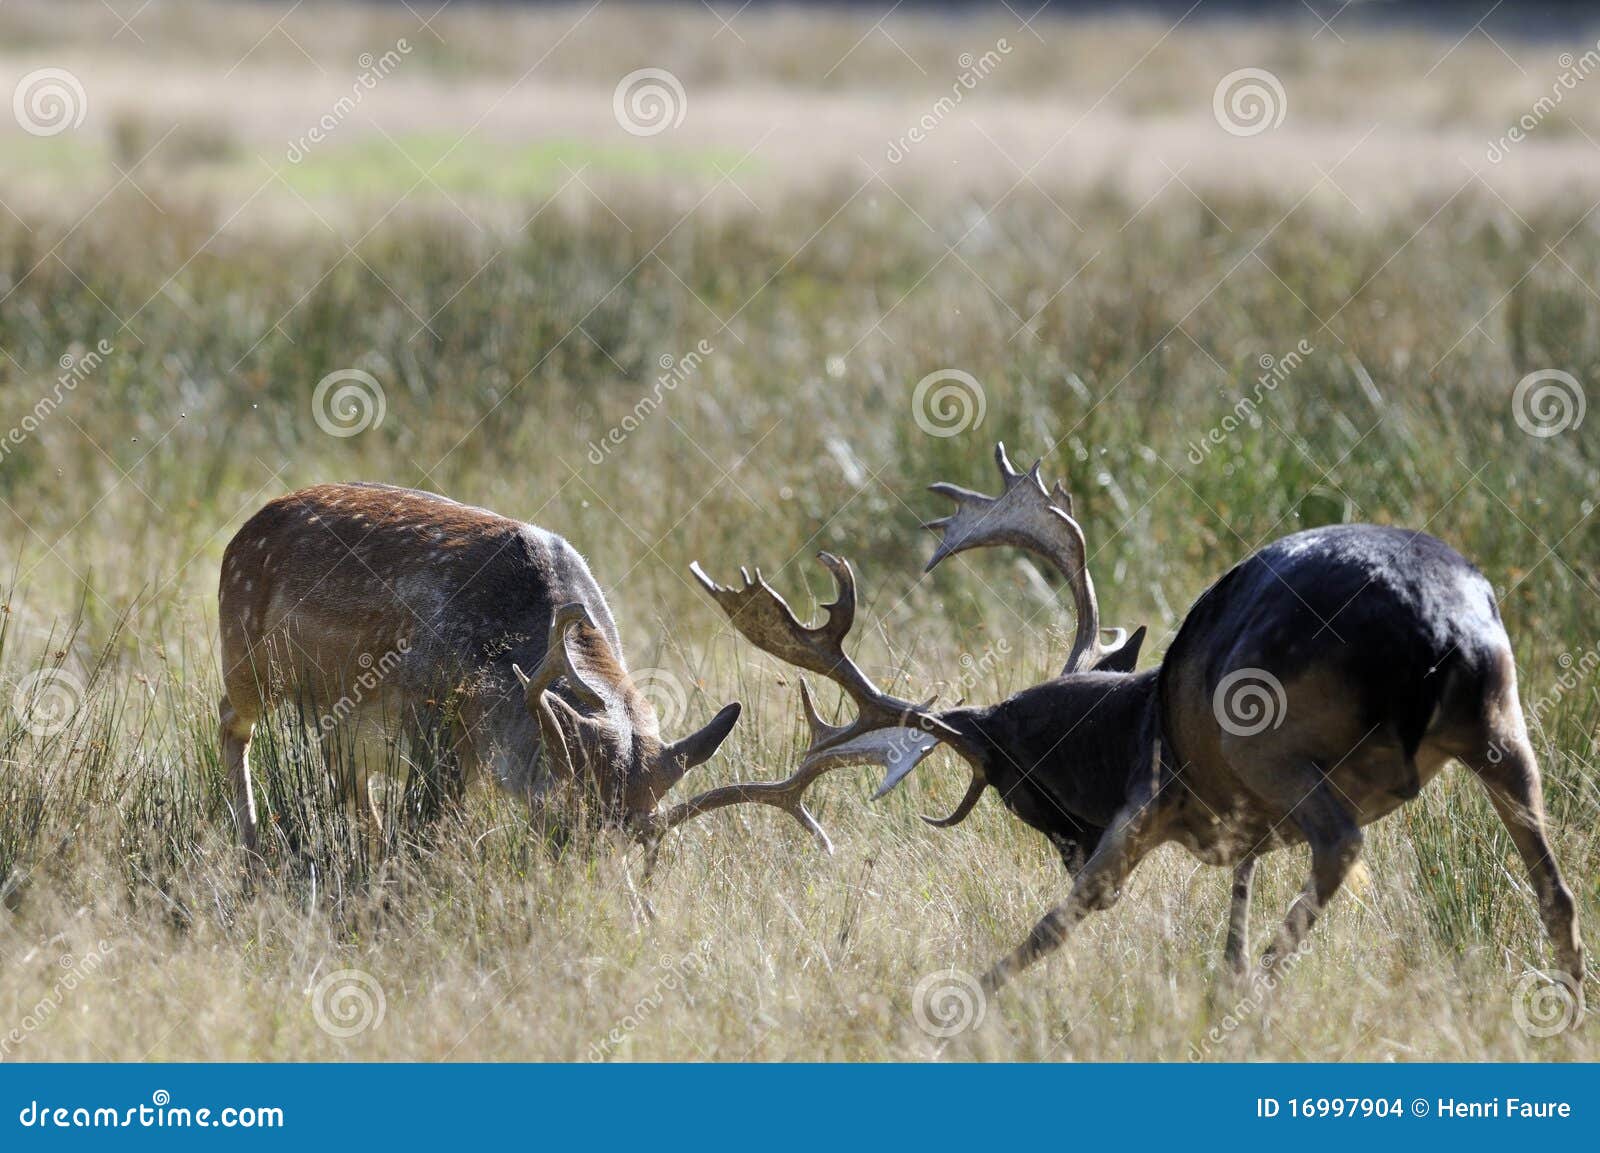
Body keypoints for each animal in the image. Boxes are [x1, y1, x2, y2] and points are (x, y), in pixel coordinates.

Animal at [217, 482, 742, 860]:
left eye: (641, 840)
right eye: (561, 818)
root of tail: (241, 532)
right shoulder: (430, 727)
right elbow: (429, 829)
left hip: (335, 719)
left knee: (346, 778)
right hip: (245, 653)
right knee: (230, 720)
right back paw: (254, 852)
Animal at [659, 443, 1584, 1009]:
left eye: (1011, 784)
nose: (1065, 841)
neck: (1125, 720)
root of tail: (1441, 624)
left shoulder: (1150, 799)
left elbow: (1065, 917)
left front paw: (964, 998)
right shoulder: (1235, 825)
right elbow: (1235, 900)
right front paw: (1223, 970)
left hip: (1271, 739)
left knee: (1344, 843)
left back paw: (1259, 991)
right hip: (1505, 726)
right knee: (1555, 884)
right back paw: (1570, 1005)